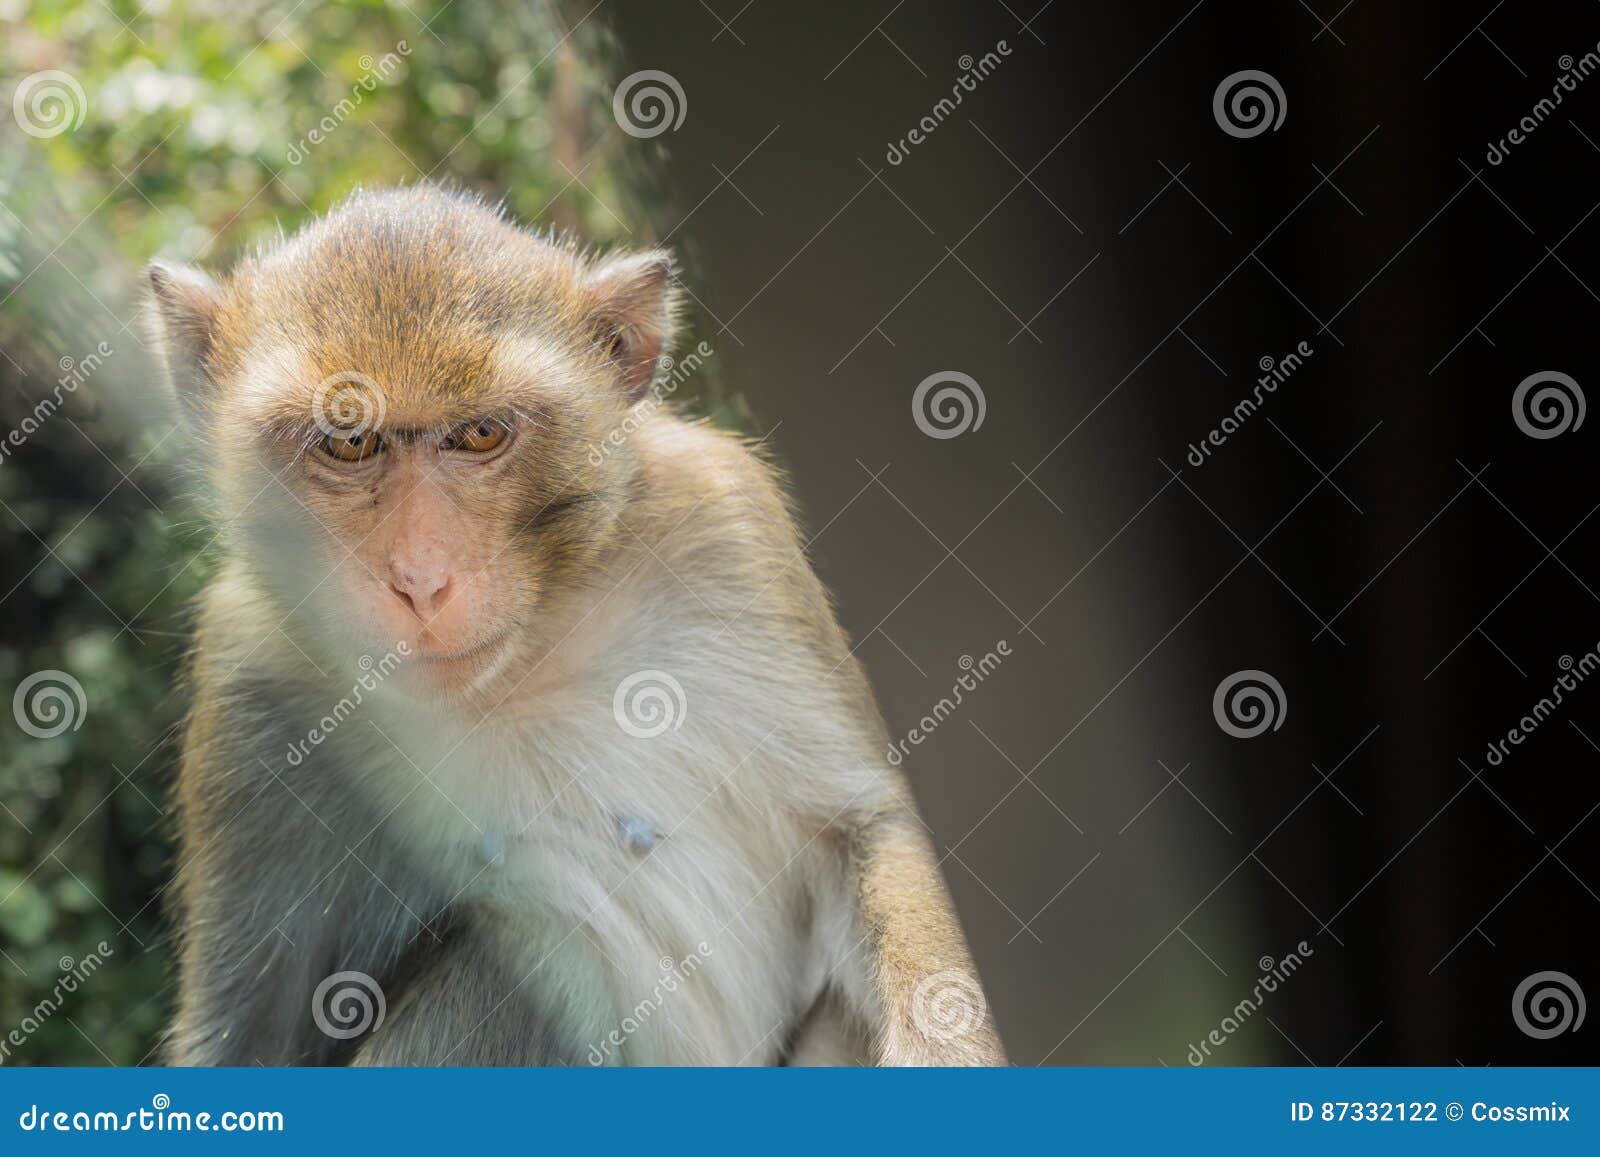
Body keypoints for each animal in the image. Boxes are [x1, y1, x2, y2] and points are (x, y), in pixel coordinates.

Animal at [146, 185, 1005, 1066]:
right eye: (349, 441)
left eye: (479, 433)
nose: (421, 578)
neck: (528, 655)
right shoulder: (255, 675)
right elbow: (250, 1034)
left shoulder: (728, 536)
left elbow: (866, 825)